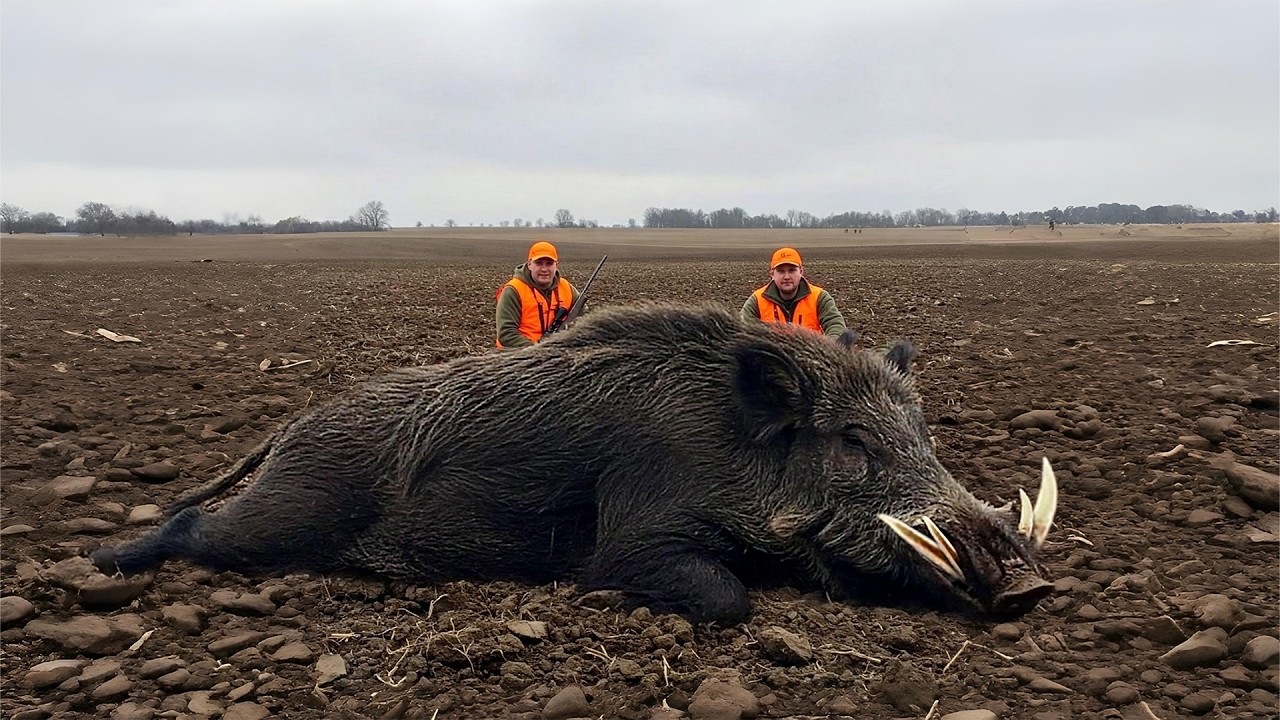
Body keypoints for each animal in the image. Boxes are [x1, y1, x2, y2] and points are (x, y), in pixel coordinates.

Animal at [92, 303, 1058, 623]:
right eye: (852, 442)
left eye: (922, 429)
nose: (1031, 586)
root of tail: (294, 424)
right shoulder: (639, 530)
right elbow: (725, 596)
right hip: (285, 513)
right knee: (191, 523)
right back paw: (104, 561)